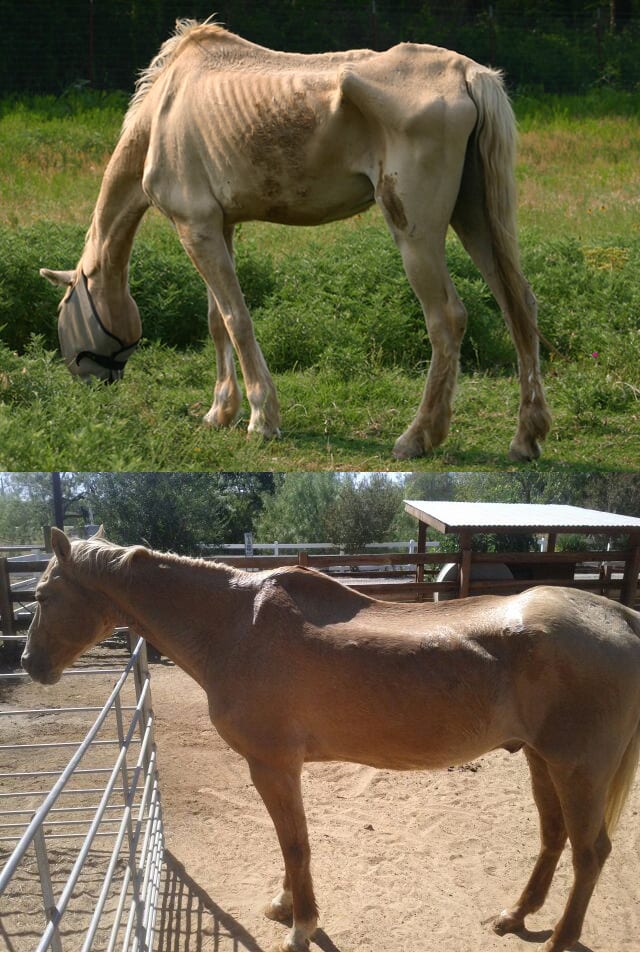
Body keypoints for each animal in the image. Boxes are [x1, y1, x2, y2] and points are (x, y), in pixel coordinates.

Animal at [22, 528, 640, 951]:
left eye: (44, 594)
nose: (29, 664)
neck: (236, 625)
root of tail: (620, 617)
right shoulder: (278, 768)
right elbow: (289, 844)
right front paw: (285, 904)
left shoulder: (272, 765)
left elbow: (295, 844)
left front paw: (301, 925)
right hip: (541, 760)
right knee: (554, 838)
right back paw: (516, 916)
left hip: (577, 768)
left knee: (590, 852)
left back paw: (559, 937)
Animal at [39, 19, 552, 461]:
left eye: (64, 308)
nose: (86, 379)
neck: (165, 107)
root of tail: (468, 74)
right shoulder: (217, 227)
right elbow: (216, 321)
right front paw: (220, 412)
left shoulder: (194, 227)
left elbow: (236, 319)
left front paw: (261, 418)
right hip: (476, 220)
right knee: (519, 306)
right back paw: (526, 437)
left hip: (417, 235)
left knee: (447, 319)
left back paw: (417, 437)